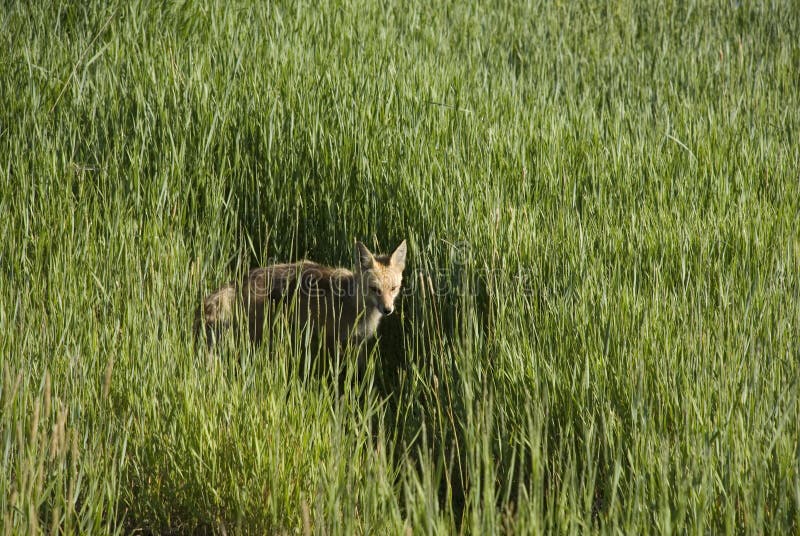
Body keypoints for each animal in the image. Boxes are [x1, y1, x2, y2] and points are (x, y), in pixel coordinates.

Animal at [195, 240, 407, 359]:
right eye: (375, 289)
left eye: (393, 289)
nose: (387, 309)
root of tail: (240, 279)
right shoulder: (330, 340)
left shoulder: (358, 344)